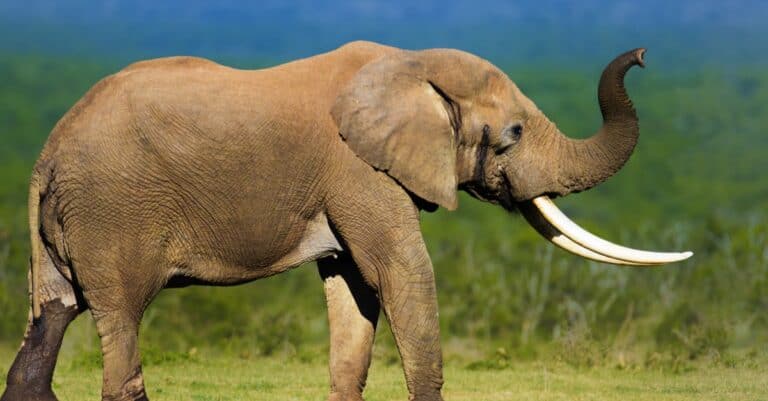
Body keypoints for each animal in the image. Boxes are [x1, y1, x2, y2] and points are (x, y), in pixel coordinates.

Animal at [1, 41, 691, 401]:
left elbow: (353, 288)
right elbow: (402, 273)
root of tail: (47, 154)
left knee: (51, 320)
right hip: (111, 213)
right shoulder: (359, 170)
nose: (642, 56)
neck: (411, 64)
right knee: (119, 320)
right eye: (514, 134)